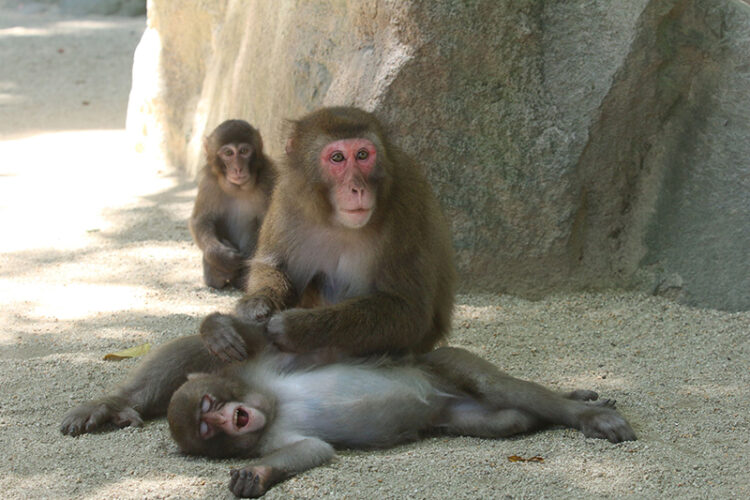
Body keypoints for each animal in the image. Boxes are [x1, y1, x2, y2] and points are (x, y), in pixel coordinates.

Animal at [167, 344, 636, 498]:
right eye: (207, 429)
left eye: (211, 402)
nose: (229, 419)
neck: (273, 407)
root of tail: (439, 392)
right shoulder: (269, 437)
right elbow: (312, 448)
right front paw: (257, 475)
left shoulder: (266, 367)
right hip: (454, 411)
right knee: (510, 418)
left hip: (445, 362)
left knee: (495, 385)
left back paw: (582, 411)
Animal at [189, 119, 275, 290]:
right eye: (228, 153)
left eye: (244, 151)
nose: (238, 168)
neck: (238, 189)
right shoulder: (209, 183)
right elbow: (201, 220)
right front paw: (220, 256)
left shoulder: (269, 178)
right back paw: (218, 274)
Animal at [202, 106, 456, 361]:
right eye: (337, 158)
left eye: (362, 155)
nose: (358, 188)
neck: (337, 222)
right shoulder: (287, 194)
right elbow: (273, 265)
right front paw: (256, 304)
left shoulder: (408, 201)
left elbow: (409, 309)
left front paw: (297, 327)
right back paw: (219, 331)